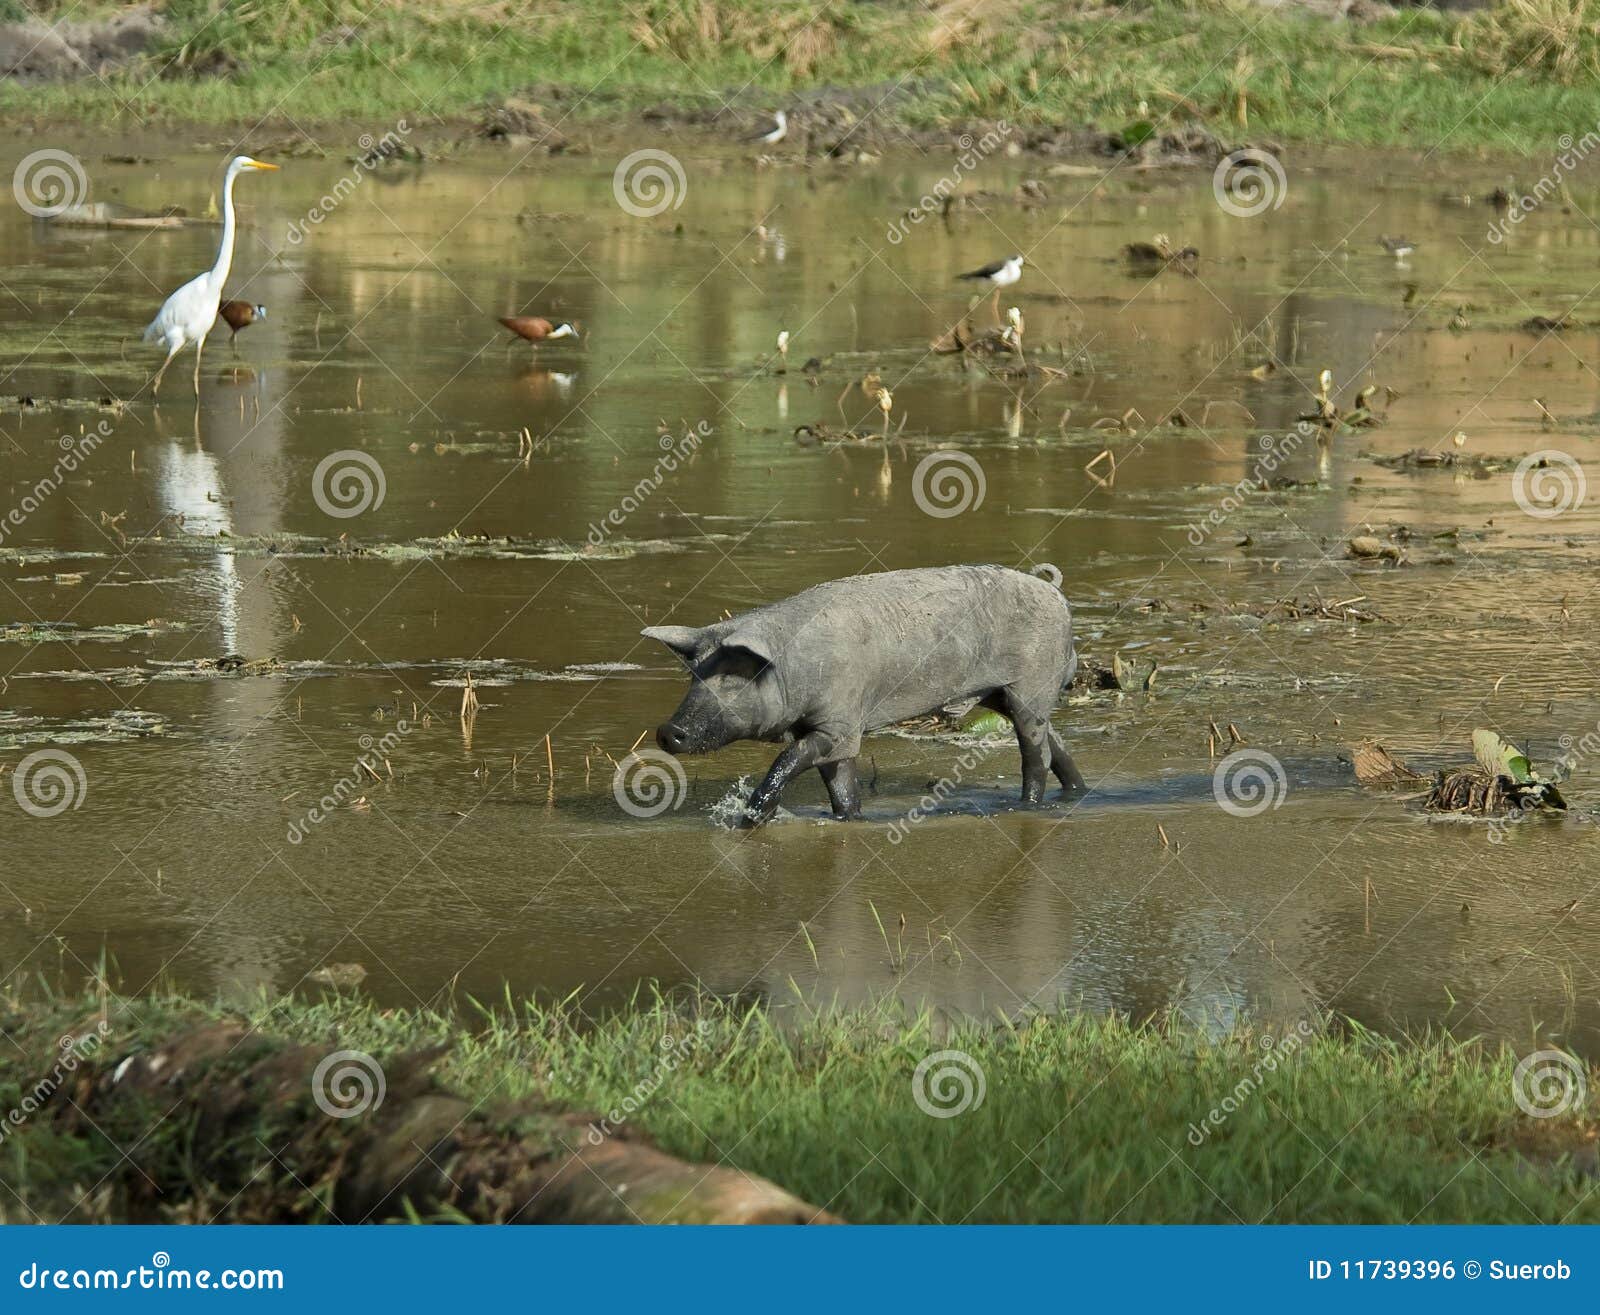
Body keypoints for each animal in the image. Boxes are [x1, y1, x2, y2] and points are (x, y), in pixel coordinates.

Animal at [642, 564, 1087, 825]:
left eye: (732, 678)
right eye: (694, 677)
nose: (667, 731)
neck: (797, 669)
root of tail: (1058, 596)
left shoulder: (840, 721)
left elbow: (790, 757)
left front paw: (749, 820)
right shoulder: (829, 729)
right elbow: (840, 783)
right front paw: (849, 818)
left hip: (1030, 684)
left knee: (1035, 753)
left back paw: (1028, 806)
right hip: (1001, 694)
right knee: (1055, 741)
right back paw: (1078, 794)